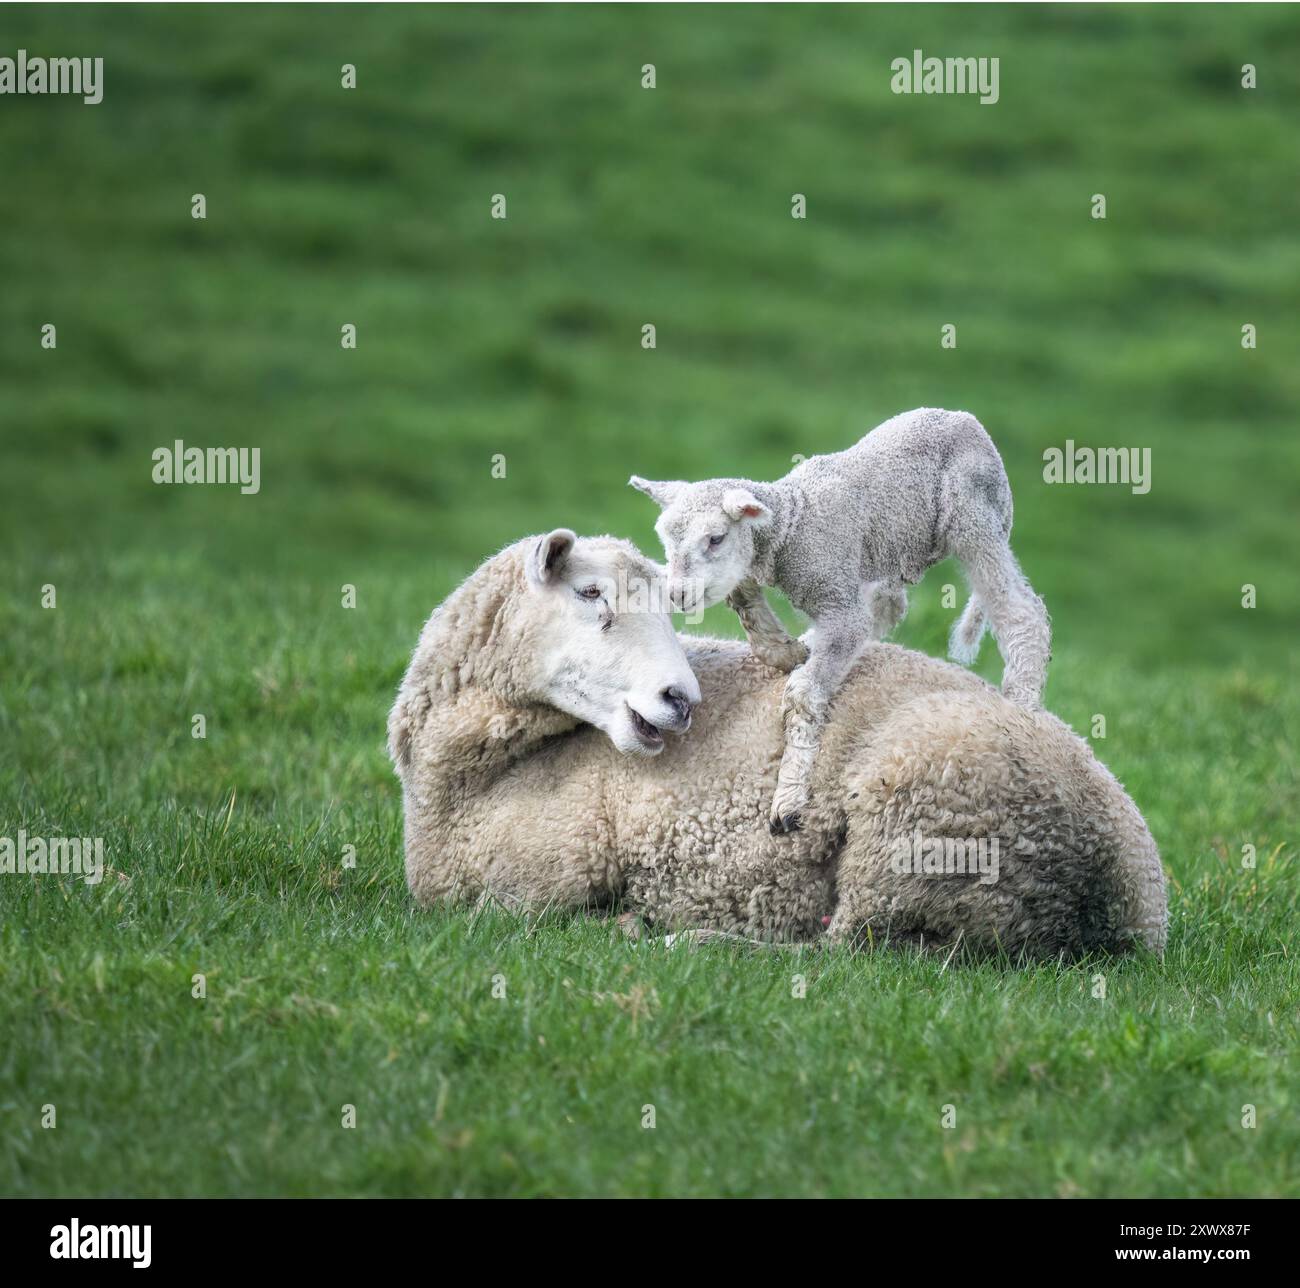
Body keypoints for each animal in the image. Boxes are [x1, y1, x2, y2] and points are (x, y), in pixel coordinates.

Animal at [389, 532, 1165, 959]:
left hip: (913, 829)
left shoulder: (539, 886)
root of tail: (1115, 903)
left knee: (846, 956)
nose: (682, 699)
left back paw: (678, 939)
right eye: (589, 593)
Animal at [629, 406, 1052, 834]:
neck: (792, 525)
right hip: (896, 543)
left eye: (715, 538)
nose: (677, 595)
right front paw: (786, 650)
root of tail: (965, 419)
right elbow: (747, 600)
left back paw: (1023, 710)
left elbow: (804, 692)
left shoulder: (837, 599)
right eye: (665, 541)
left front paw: (788, 800)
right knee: (891, 605)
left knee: (1020, 611)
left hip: (971, 516)